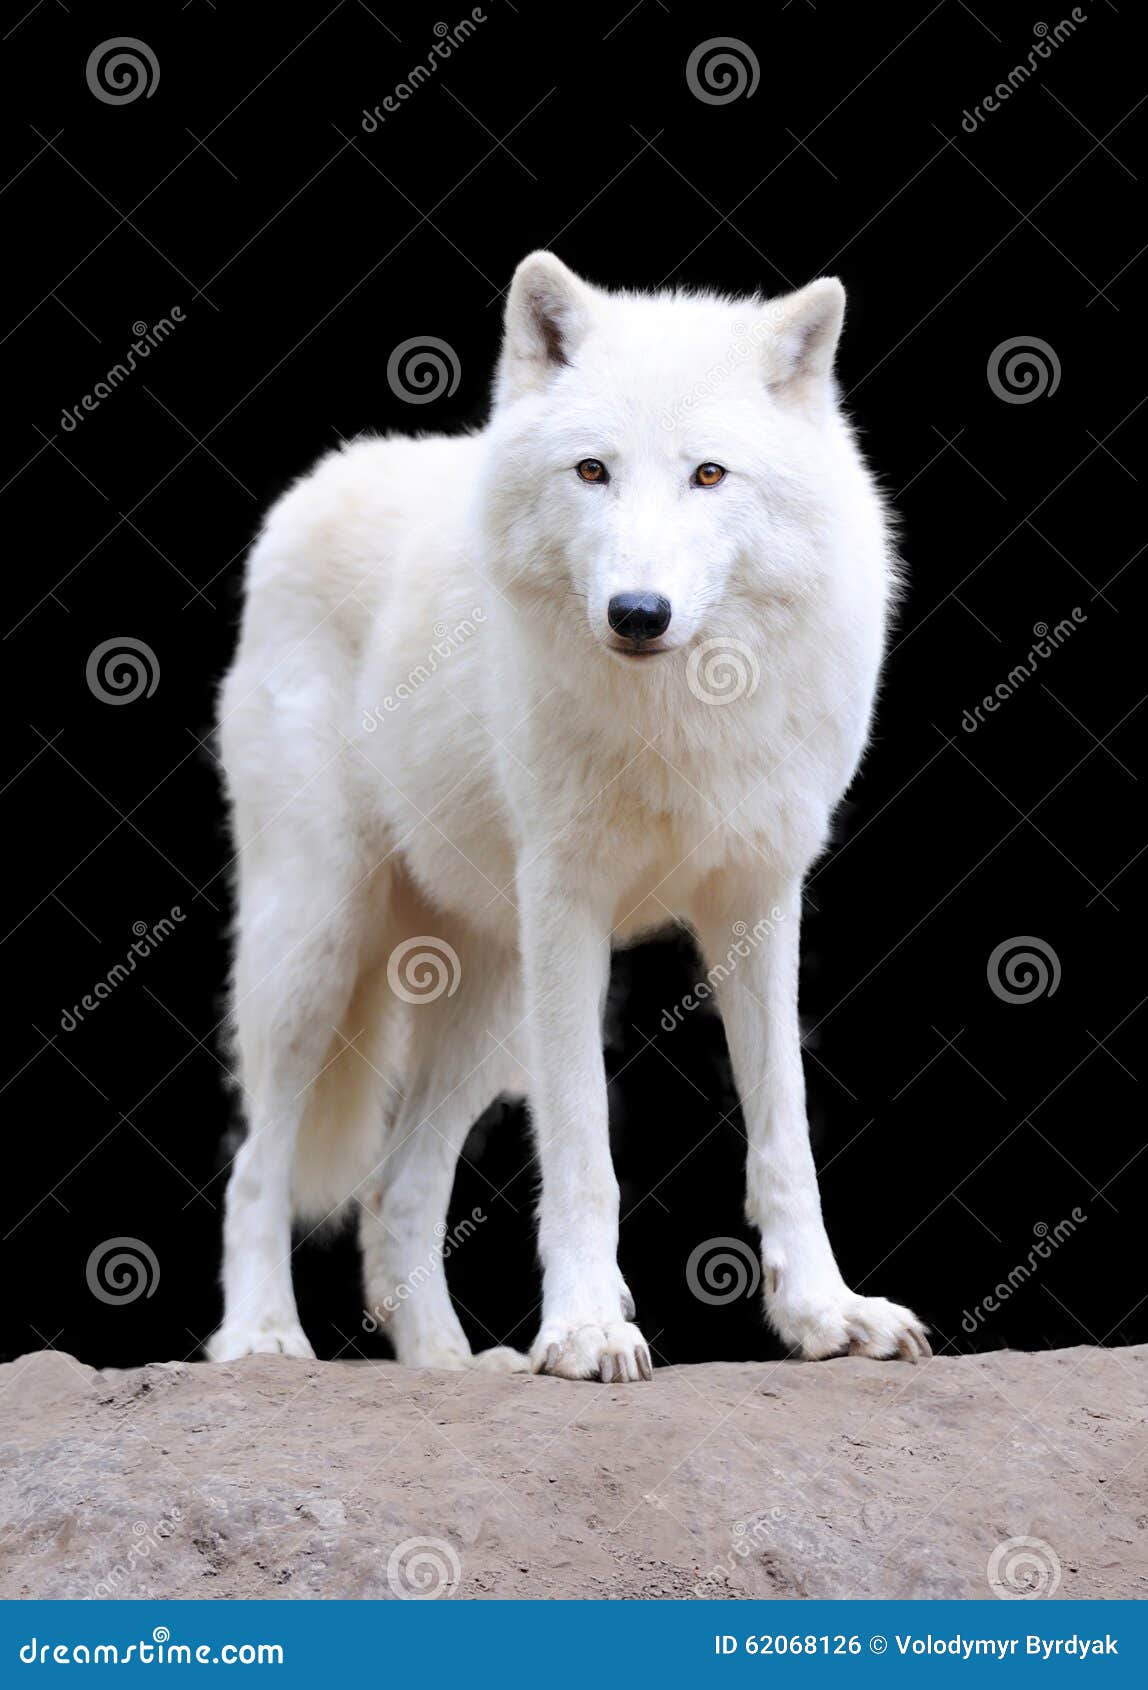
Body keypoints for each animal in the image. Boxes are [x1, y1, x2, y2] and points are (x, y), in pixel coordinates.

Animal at [207, 252, 929, 1381]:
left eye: (709, 475)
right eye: (592, 472)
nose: (637, 613)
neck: (681, 713)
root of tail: (325, 476)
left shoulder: (758, 902)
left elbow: (785, 1137)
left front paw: (824, 1314)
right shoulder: (568, 910)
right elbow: (584, 1146)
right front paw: (588, 1328)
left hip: (486, 999)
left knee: (396, 1190)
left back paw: (450, 1368)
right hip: (319, 948)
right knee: (257, 1162)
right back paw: (262, 1336)